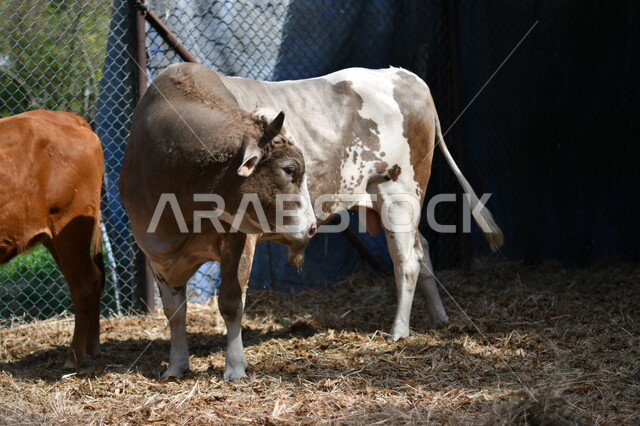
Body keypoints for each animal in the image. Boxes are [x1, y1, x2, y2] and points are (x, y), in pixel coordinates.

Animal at [0, 110, 105, 368]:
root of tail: (71, 118)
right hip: (56, 238)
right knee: (95, 277)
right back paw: (91, 349)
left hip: (69, 231)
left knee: (84, 286)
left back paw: (73, 358)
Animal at [119, 63, 502, 380]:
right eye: (290, 169)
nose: (313, 226)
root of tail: (404, 75)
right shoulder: (154, 252)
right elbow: (174, 313)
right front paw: (176, 365)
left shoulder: (240, 240)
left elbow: (230, 302)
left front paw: (235, 367)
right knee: (422, 250)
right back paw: (439, 317)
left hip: (400, 194)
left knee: (406, 261)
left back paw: (399, 330)